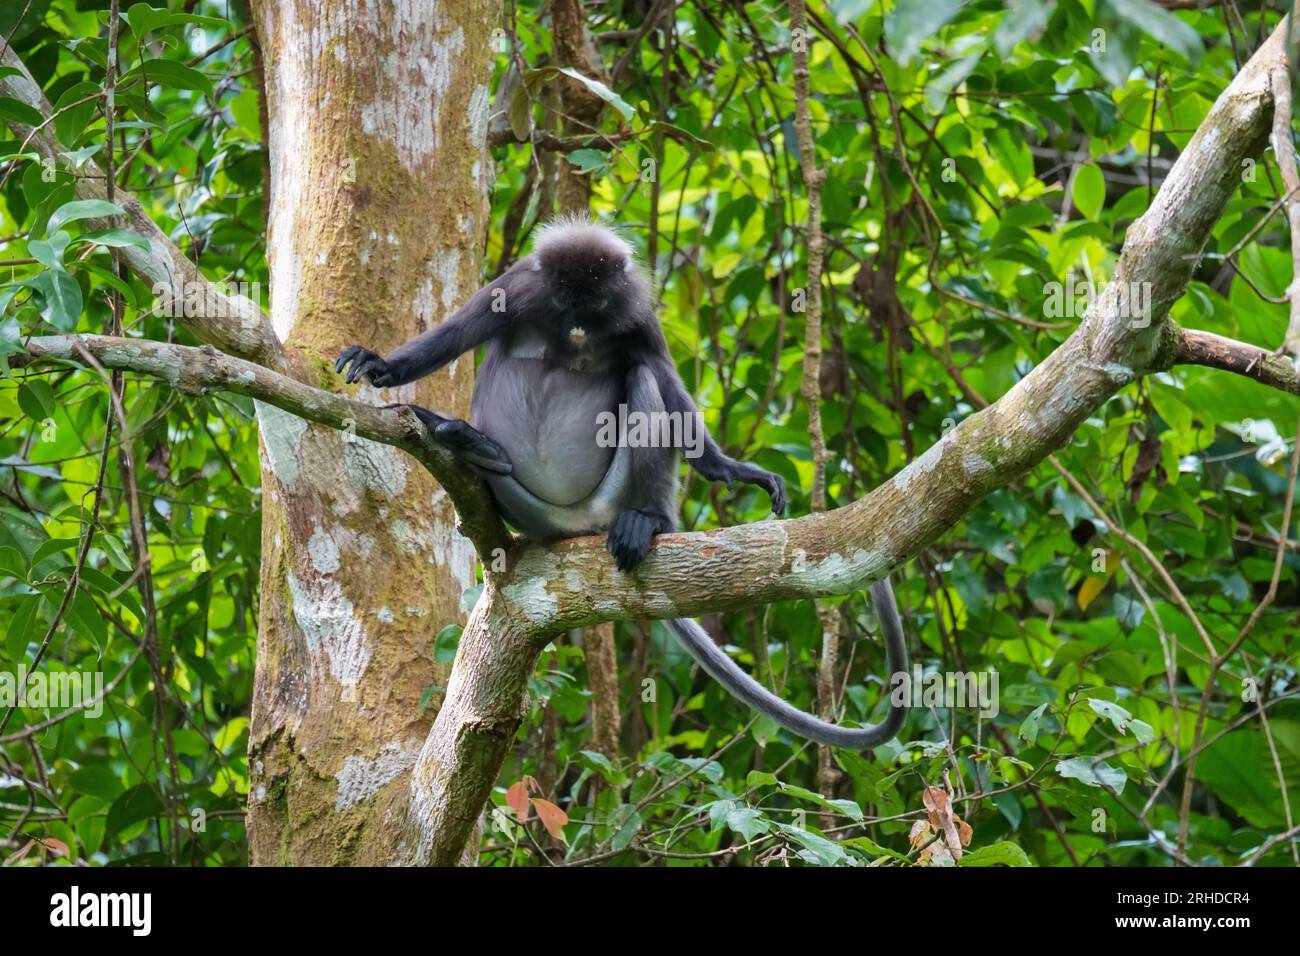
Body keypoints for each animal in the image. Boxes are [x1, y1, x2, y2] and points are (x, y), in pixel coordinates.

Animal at [336, 218, 908, 748]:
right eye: (566, 305)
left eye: (597, 307)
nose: (579, 331)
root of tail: (580, 521)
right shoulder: (519, 285)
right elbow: (457, 332)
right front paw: (381, 364)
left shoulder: (638, 317)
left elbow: (662, 376)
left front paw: (728, 469)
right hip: (525, 504)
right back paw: (471, 443)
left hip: (613, 490)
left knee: (644, 379)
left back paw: (649, 519)